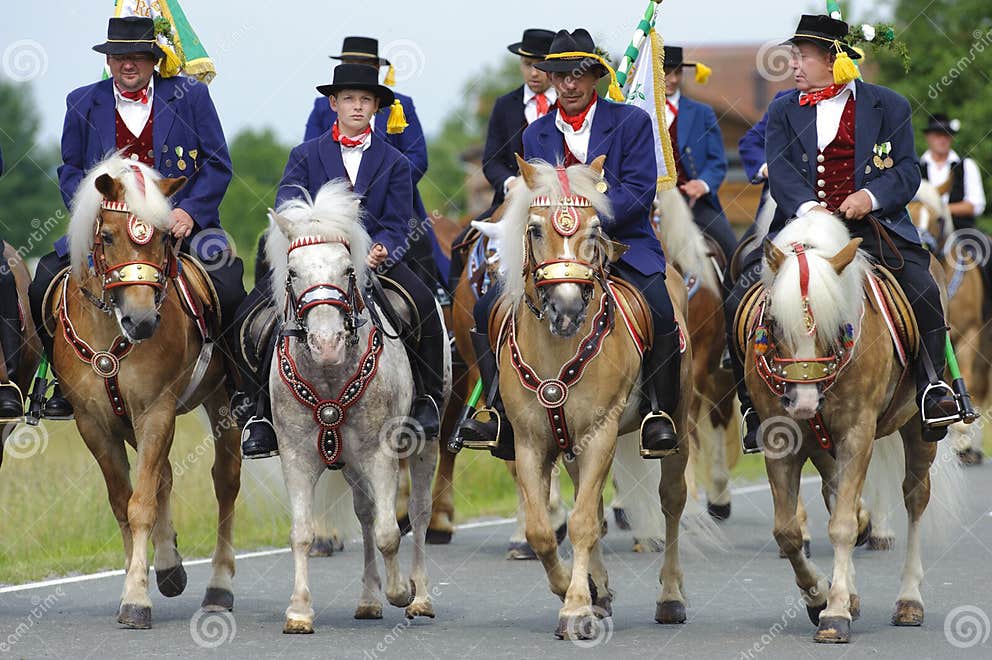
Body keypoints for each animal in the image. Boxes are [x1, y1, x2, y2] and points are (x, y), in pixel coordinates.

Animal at [51, 156, 241, 628]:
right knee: (164, 476)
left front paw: (136, 598)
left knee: (225, 481)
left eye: (164, 236)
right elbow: (125, 501)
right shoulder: (95, 423)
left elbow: (141, 504)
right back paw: (170, 567)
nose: (141, 322)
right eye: (106, 235)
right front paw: (137, 580)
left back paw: (218, 587)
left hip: (221, 405)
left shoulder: (157, 410)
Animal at [266, 180, 449, 633]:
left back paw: (419, 598)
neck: (330, 377)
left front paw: (400, 592)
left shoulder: (381, 454)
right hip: (347, 461)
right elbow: (302, 532)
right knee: (365, 514)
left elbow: (389, 532)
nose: (326, 344)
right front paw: (299, 612)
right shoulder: (296, 457)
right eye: (293, 273)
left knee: (418, 513)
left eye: (348, 271)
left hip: (423, 446)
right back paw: (368, 599)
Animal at [497, 155, 694, 639]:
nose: (566, 309)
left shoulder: (601, 434)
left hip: (676, 426)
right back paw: (599, 590)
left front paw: (575, 608)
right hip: (570, 445)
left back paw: (671, 597)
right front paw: (579, 588)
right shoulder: (531, 442)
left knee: (671, 502)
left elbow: (584, 523)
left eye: (593, 230)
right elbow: (542, 530)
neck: (559, 349)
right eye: (534, 229)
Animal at [739, 211, 962, 643]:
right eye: (774, 323)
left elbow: (842, 525)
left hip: (918, 432)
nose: (804, 402)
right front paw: (819, 597)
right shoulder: (781, 440)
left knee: (914, 498)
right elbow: (788, 531)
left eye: (834, 324)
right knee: (834, 495)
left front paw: (834, 613)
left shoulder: (857, 435)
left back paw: (909, 601)